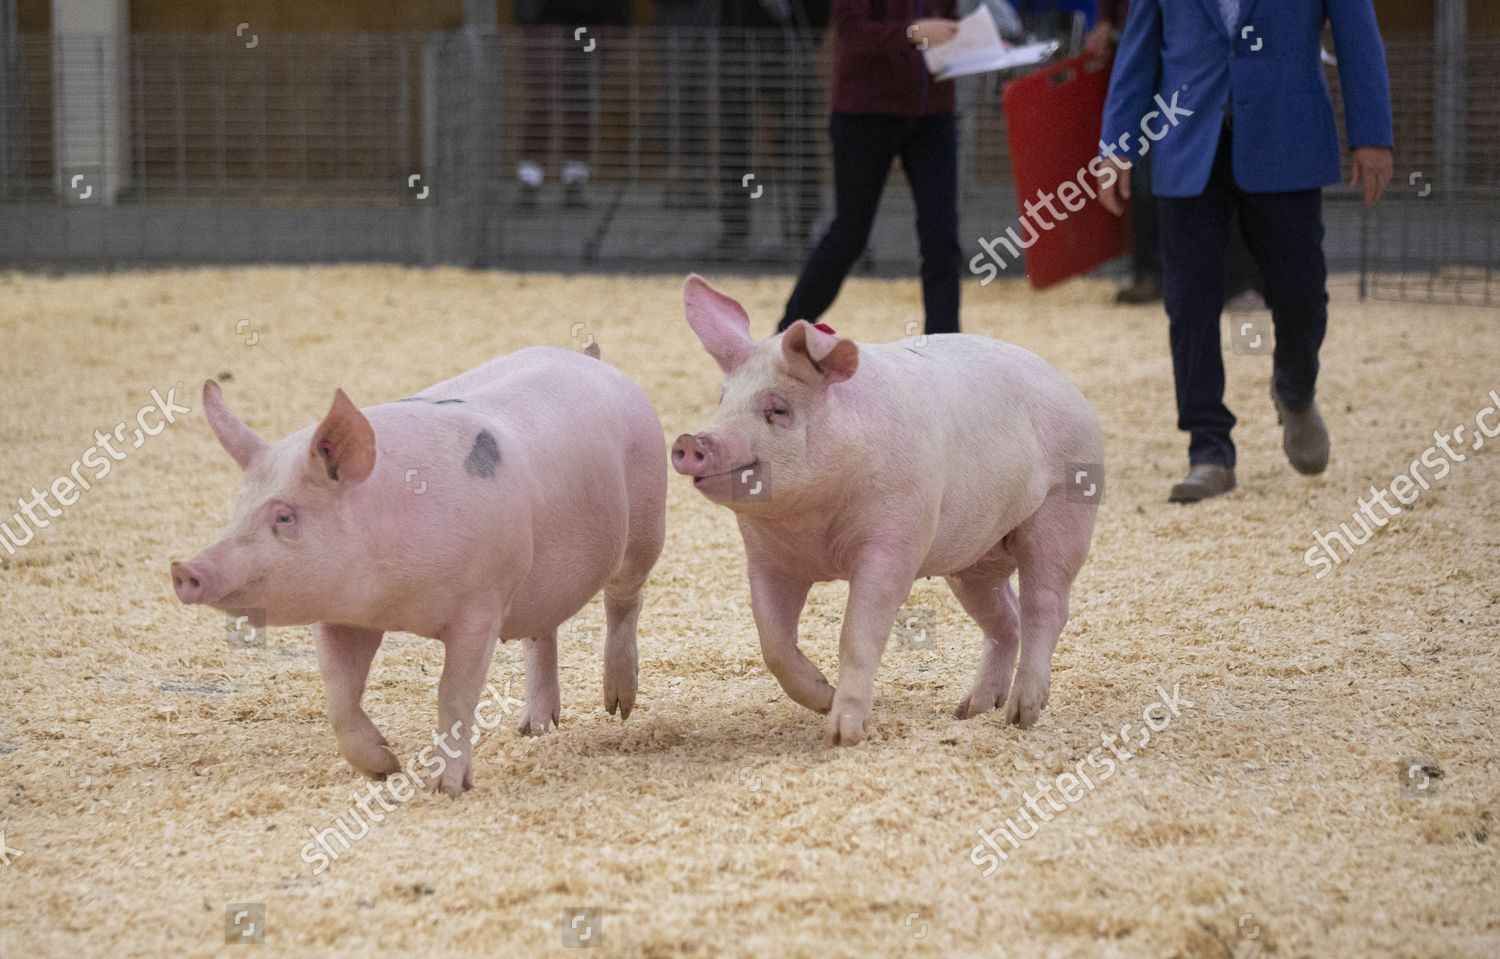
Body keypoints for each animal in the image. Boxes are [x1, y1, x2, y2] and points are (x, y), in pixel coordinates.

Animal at [171, 345, 666, 796]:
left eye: (285, 516)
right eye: (238, 509)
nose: (184, 570)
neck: (395, 599)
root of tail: (590, 358)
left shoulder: (480, 606)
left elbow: (454, 697)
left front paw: (445, 789)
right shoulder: (341, 616)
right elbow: (338, 697)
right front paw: (383, 769)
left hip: (645, 521)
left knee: (625, 599)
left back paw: (618, 706)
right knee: (542, 631)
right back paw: (534, 730)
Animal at [671, 276, 1103, 745]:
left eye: (778, 409)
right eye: (722, 400)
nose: (690, 441)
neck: (814, 525)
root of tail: (1065, 383)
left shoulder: (895, 540)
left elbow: (858, 634)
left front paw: (842, 734)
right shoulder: (766, 558)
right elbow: (773, 643)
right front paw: (823, 697)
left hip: (1063, 512)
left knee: (1046, 606)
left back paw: (1021, 715)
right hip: (974, 558)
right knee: (1006, 619)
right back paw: (969, 711)